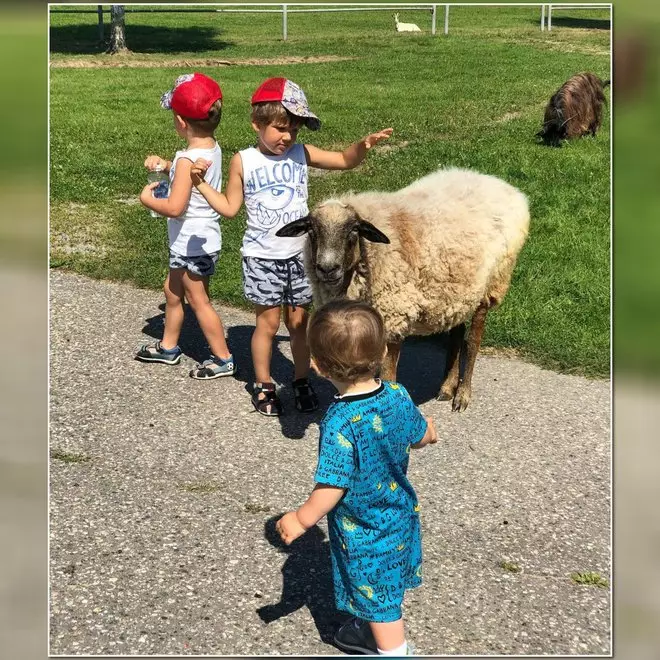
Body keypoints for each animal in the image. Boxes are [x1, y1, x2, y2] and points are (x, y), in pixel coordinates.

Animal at [276, 168, 528, 410]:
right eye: (311, 231)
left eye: (354, 231)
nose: (327, 268)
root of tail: (506, 187)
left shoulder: (395, 319)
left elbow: (388, 376)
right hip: (458, 291)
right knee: (457, 333)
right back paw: (447, 387)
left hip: (492, 285)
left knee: (474, 341)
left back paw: (463, 395)